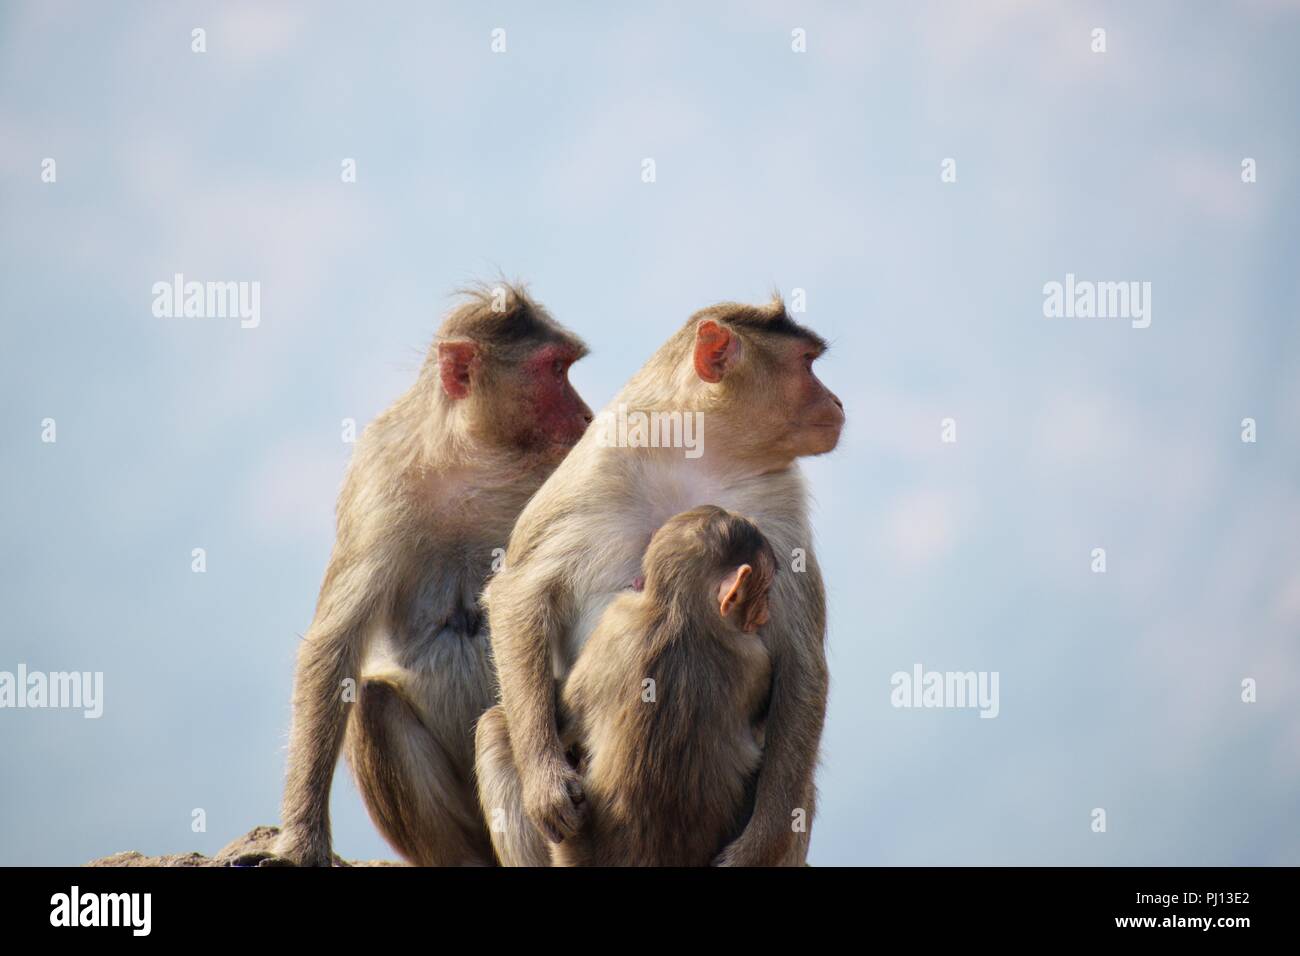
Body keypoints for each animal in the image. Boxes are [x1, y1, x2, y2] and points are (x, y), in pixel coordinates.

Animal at [253, 283, 592, 867]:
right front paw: (301, 838)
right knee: (374, 704)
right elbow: (335, 645)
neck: (479, 458)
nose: (590, 416)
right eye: (554, 370)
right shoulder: (377, 478)